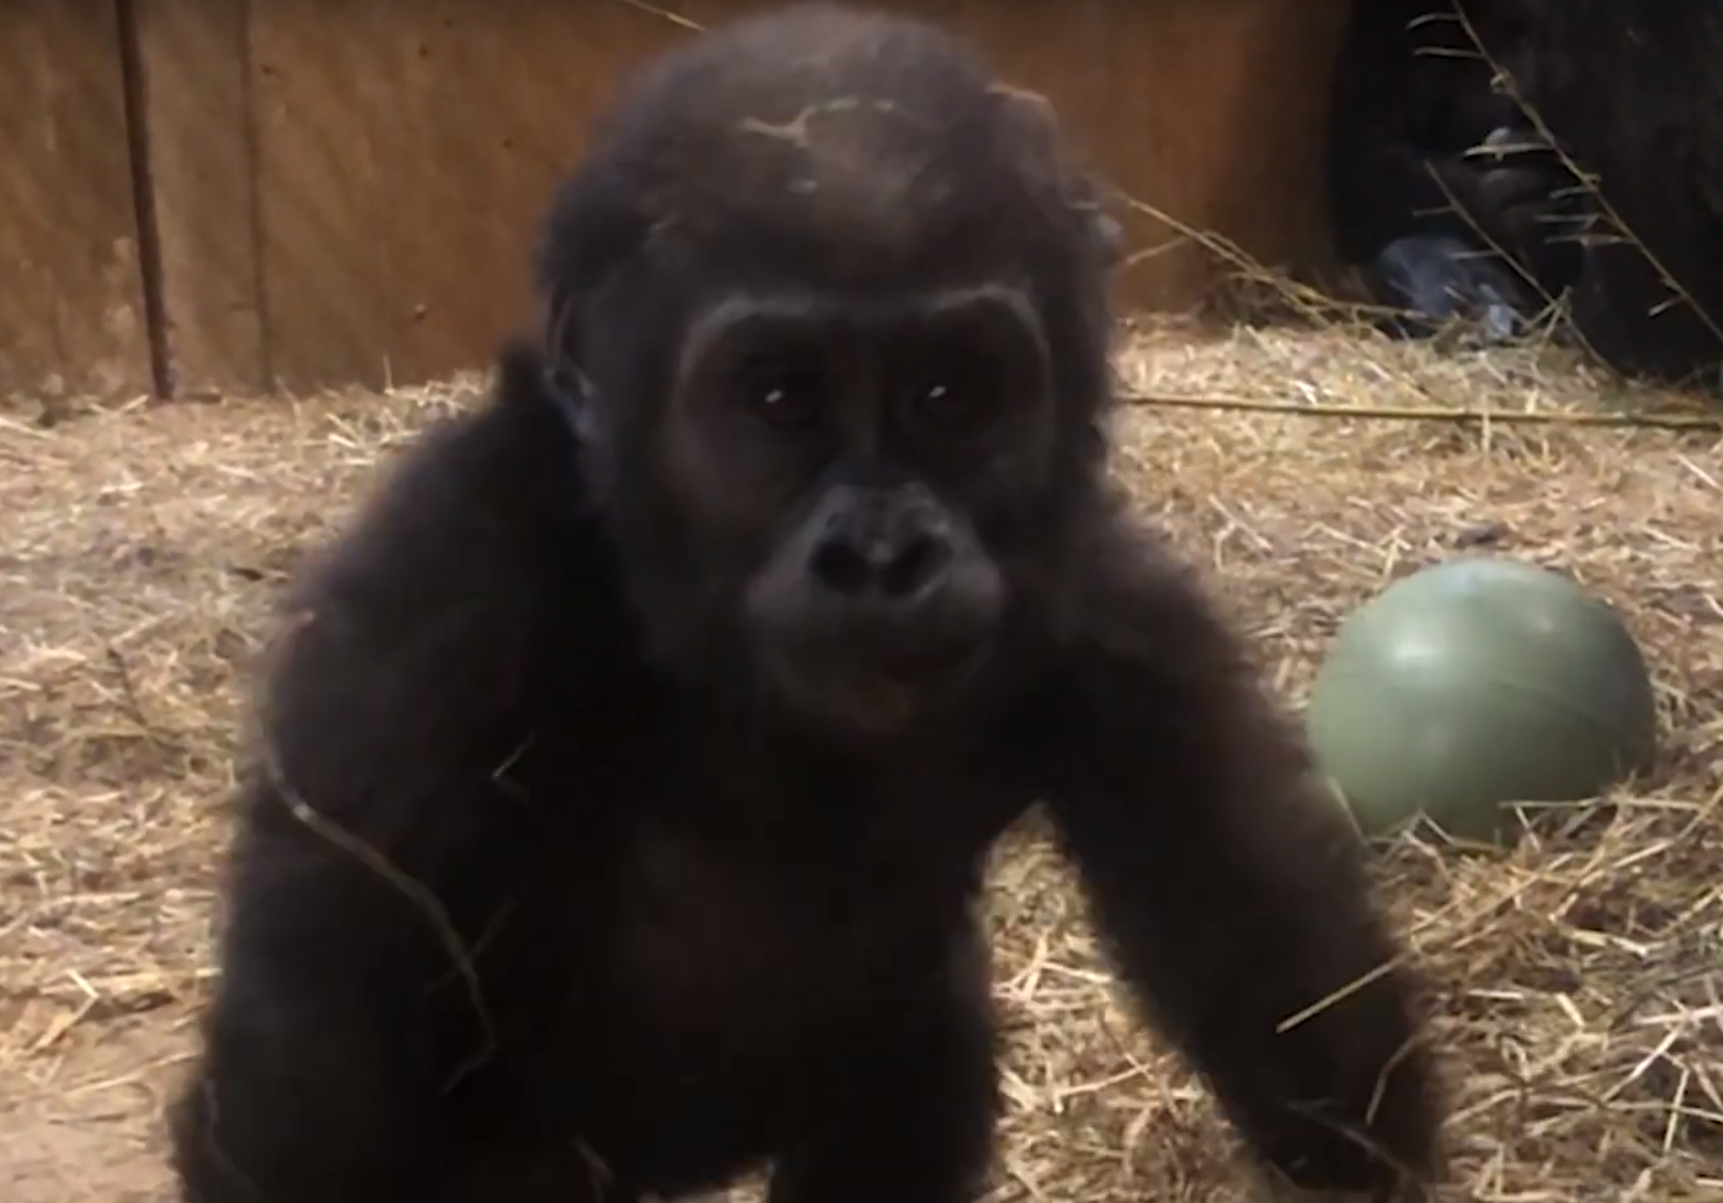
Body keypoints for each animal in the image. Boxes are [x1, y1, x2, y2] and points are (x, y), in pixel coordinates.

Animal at [167, 7, 1446, 1203]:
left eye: (951, 393)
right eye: (777, 401)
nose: (880, 553)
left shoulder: (1110, 606)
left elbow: (1279, 980)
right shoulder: (433, 599)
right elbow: (314, 1090)